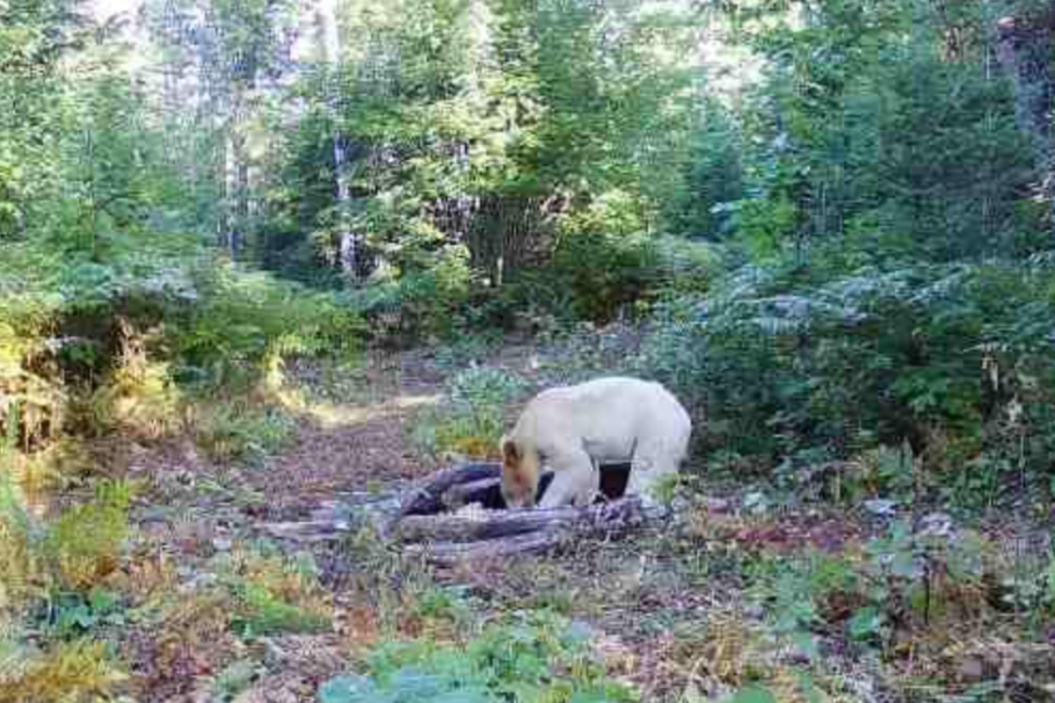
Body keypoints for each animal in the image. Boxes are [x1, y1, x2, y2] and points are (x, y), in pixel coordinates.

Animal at [500, 376, 692, 509]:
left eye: (509, 491)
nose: (513, 508)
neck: (529, 425)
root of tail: (684, 416)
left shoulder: (551, 432)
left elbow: (576, 465)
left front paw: (544, 506)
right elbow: (590, 470)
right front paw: (582, 502)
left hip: (655, 427)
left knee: (645, 468)